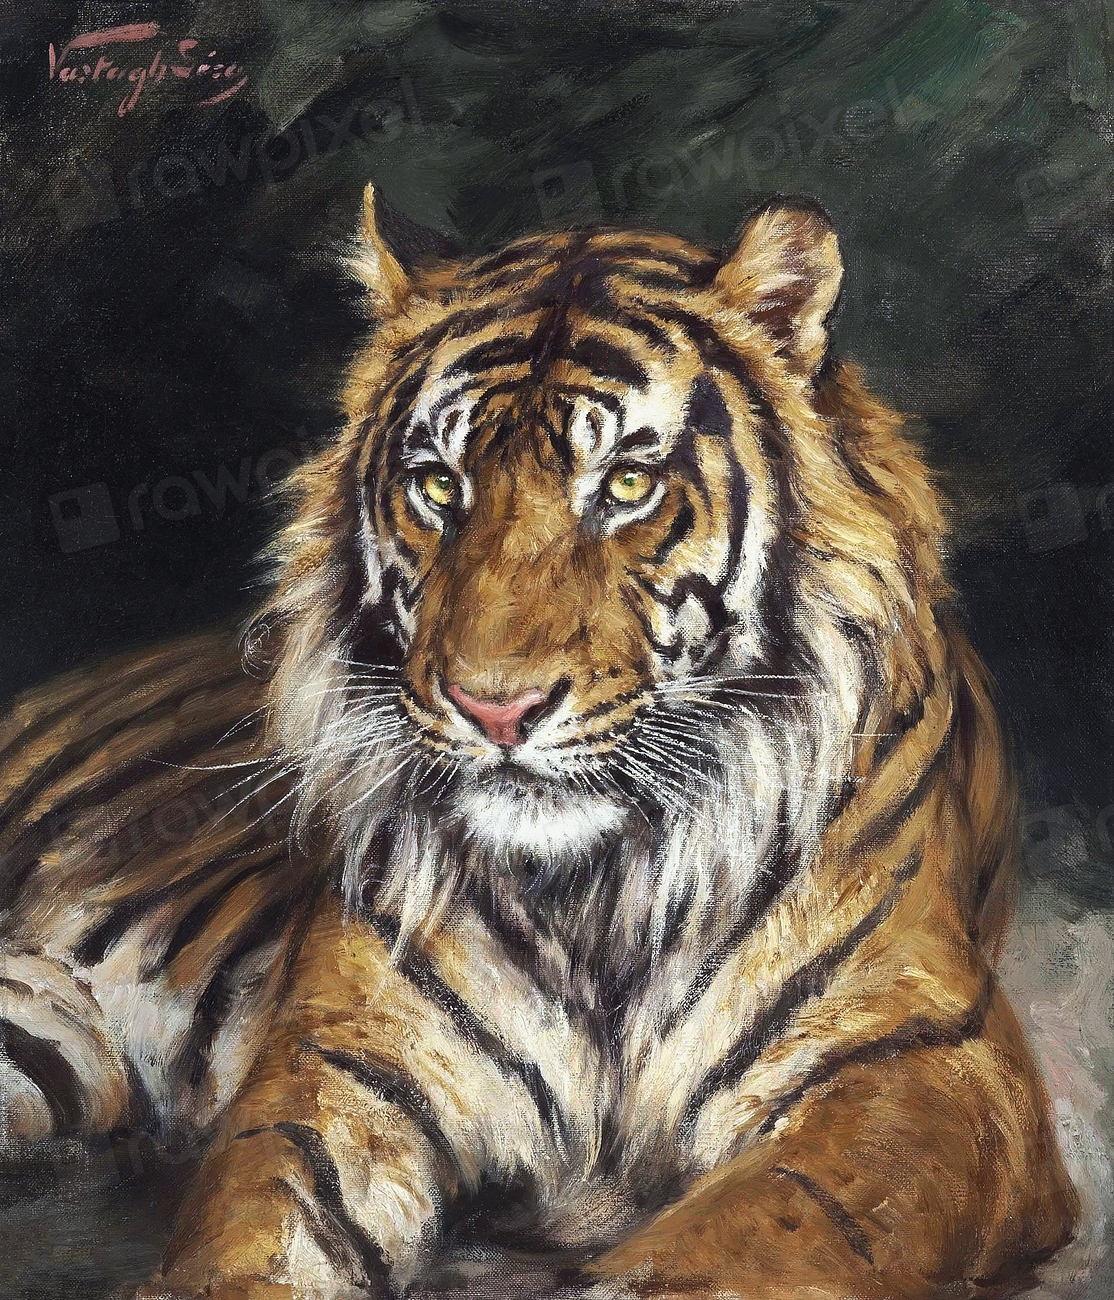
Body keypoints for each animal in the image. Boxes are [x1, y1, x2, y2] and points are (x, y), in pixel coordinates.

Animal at [0, 184, 1078, 1299]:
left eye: (627, 487)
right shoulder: (342, 1058)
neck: (597, 900)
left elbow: (740, 1235)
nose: (494, 709)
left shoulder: (921, 1060)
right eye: (438, 487)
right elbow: (256, 1235)